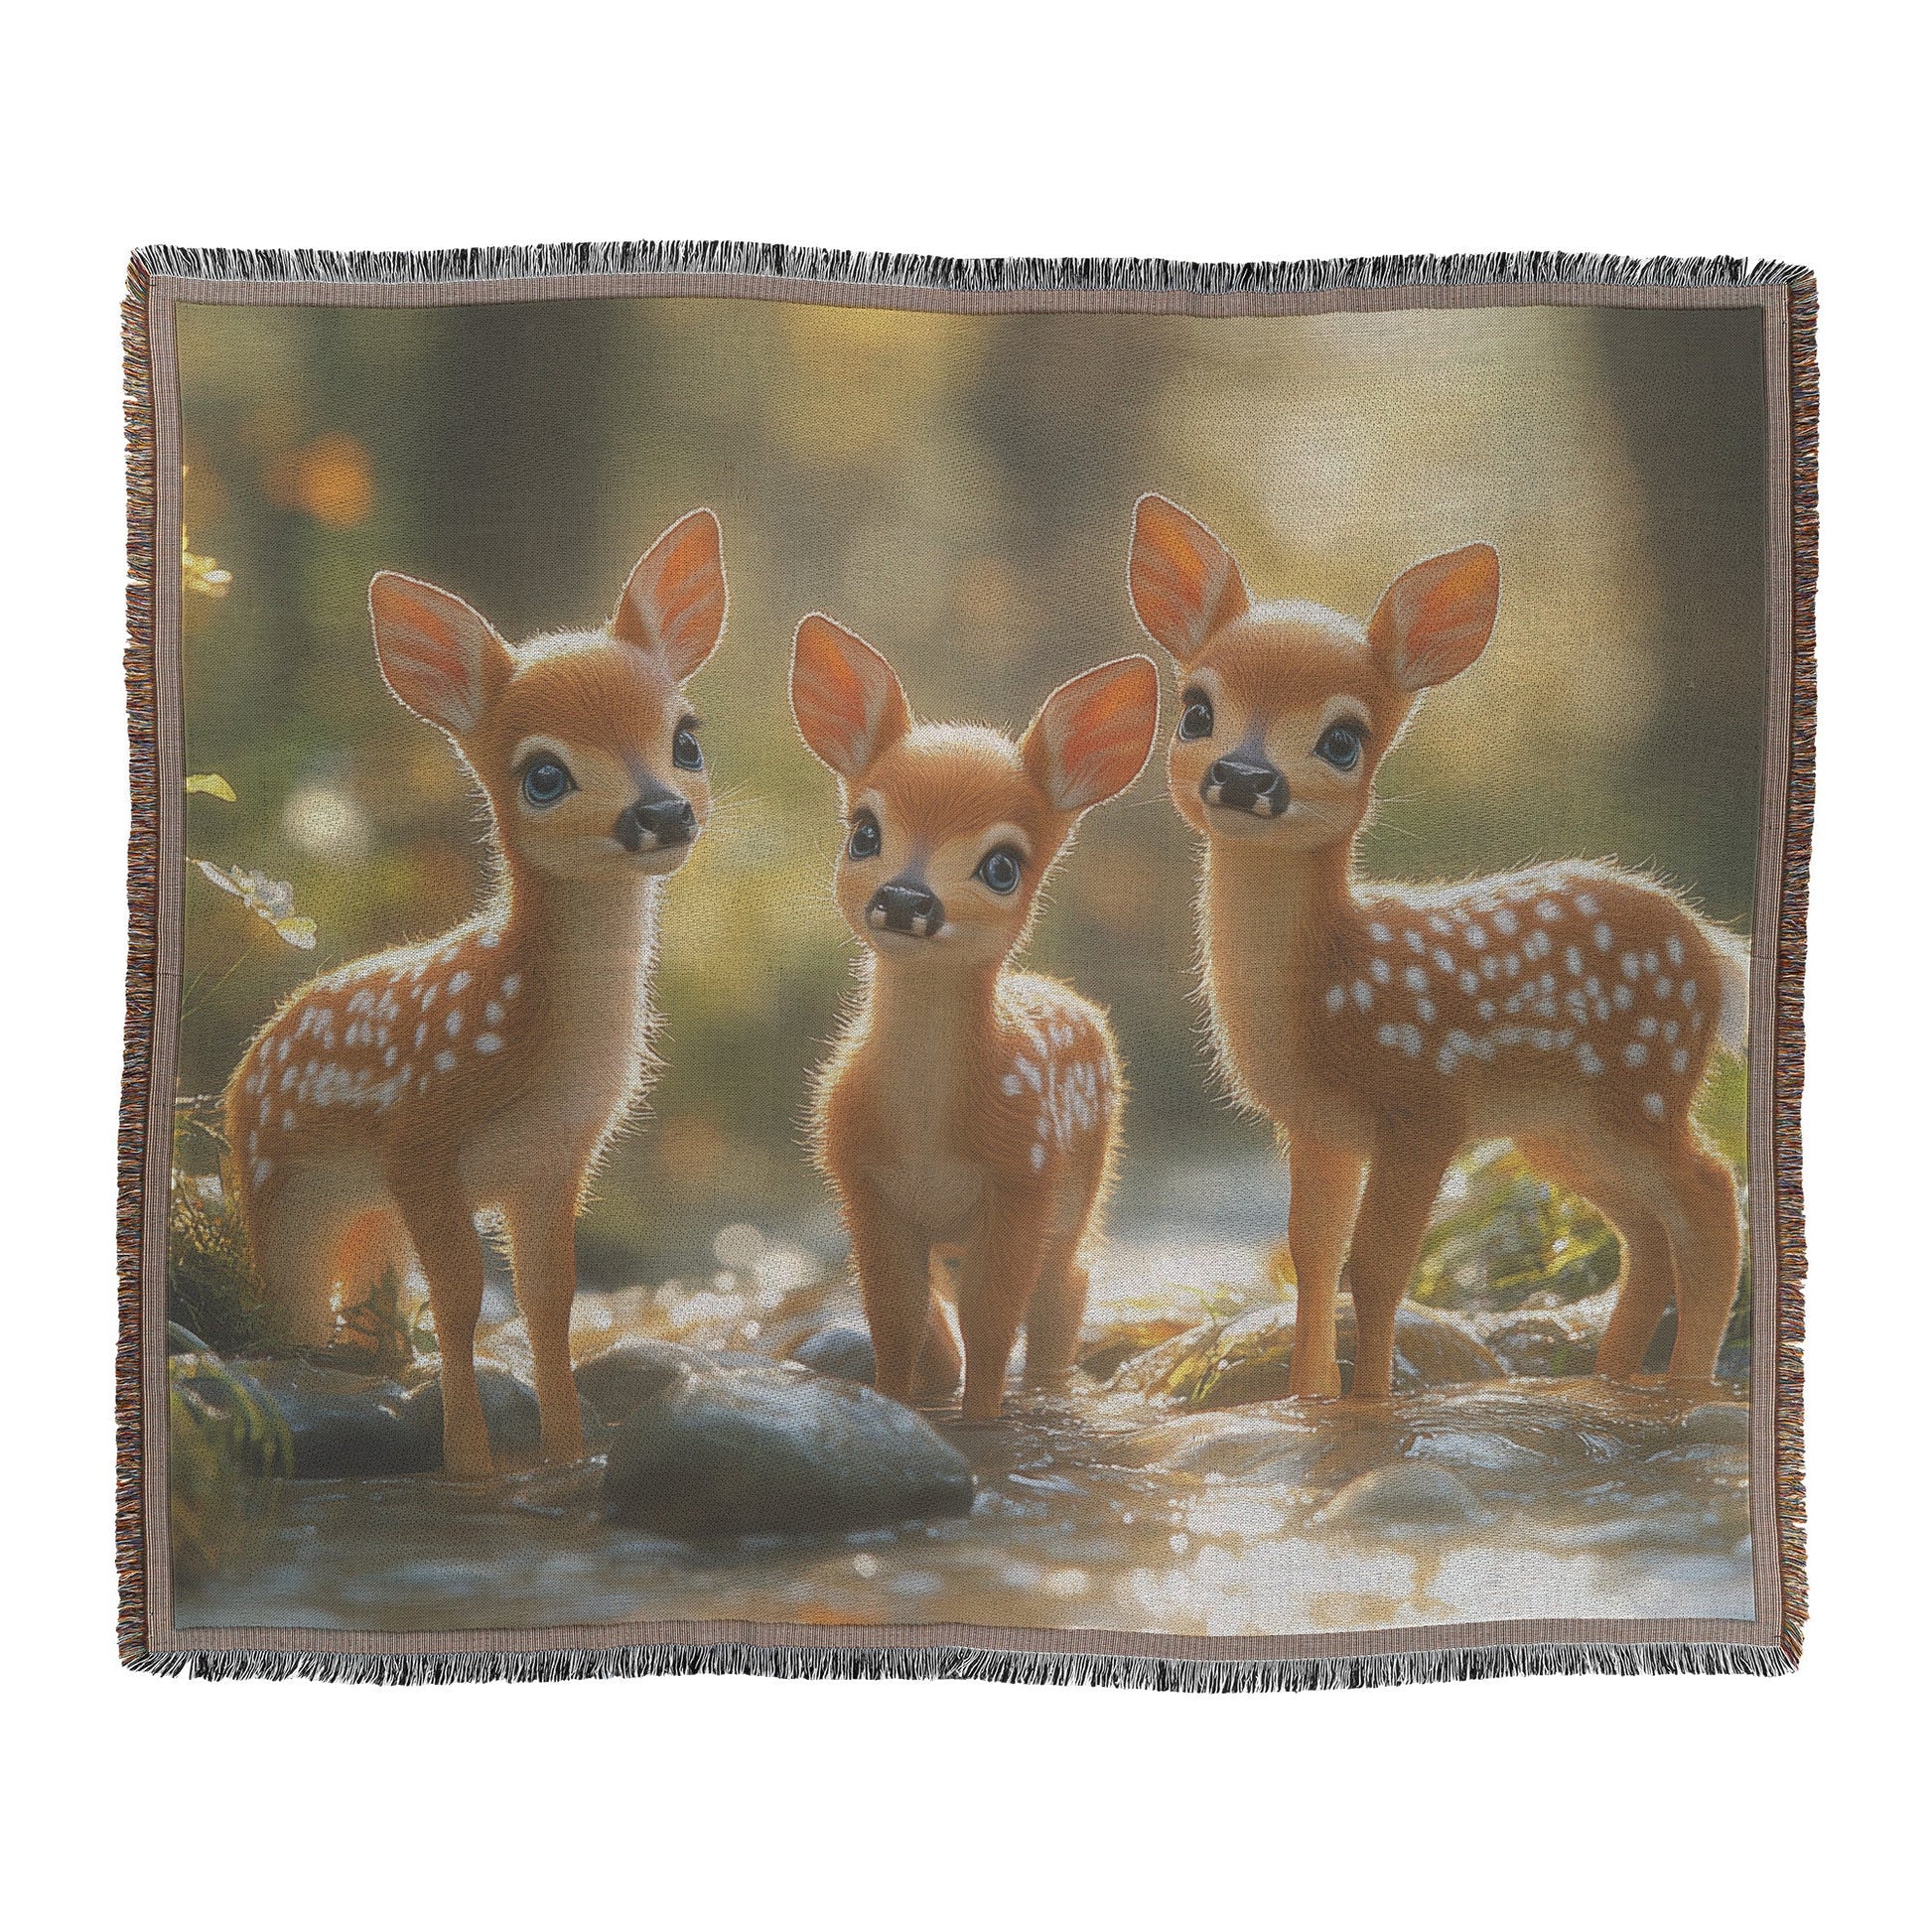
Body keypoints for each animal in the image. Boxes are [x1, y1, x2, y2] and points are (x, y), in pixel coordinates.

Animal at [222, 509, 729, 1477]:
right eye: (544, 774)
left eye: (686, 738)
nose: (659, 813)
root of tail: (254, 1049)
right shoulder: (422, 1137)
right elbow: (461, 1304)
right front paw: (470, 1468)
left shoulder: (555, 1158)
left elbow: (548, 1302)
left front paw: (567, 1457)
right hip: (276, 1179)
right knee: (283, 1309)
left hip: (366, 1207)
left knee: (366, 1311)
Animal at [789, 613, 1162, 1421]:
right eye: (865, 831)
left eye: (1002, 865)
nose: (905, 898)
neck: (927, 1134)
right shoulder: (864, 1185)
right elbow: (897, 1317)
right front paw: (901, 1404)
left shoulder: (1022, 1176)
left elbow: (992, 1320)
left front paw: (985, 1421)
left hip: (1080, 1184)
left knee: (1064, 1290)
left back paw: (1050, 1391)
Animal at [1125, 492, 1750, 1401]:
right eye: (1197, 709)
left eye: (1343, 739)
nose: (1243, 777)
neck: (1327, 983)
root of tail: (1713, 951)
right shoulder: (1317, 1124)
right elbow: (1313, 1259)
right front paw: (1308, 1397)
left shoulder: (1424, 1105)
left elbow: (1379, 1268)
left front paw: (1369, 1404)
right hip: (1561, 1123)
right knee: (1648, 1229)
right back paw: (1610, 1384)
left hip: (1641, 1085)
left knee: (1709, 1194)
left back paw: (1684, 1389)